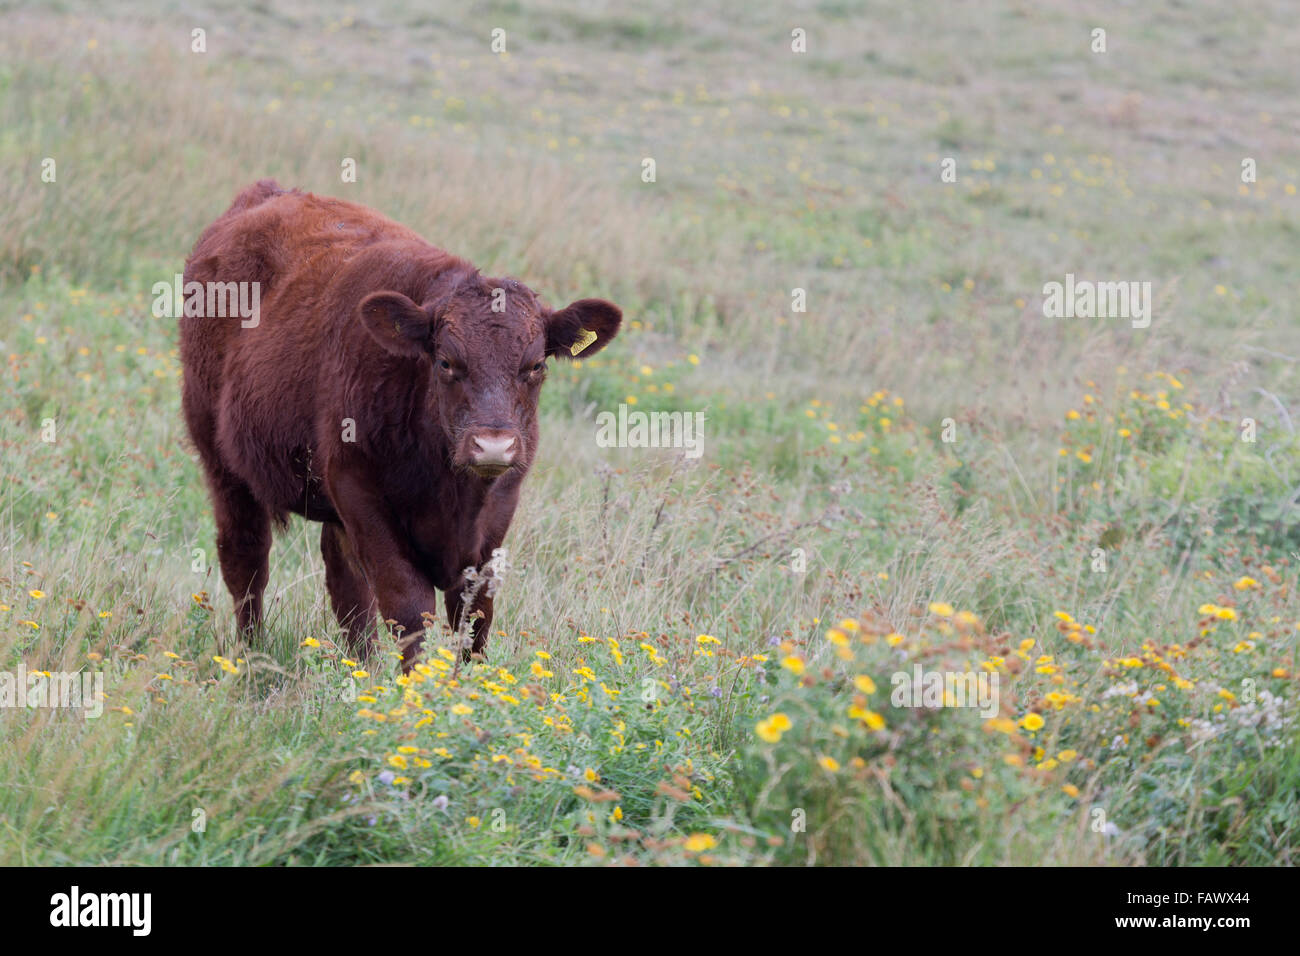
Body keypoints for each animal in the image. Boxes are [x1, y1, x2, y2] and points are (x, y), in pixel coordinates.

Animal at [179, 179, 621, 667]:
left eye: (536, 365)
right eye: (446, 362)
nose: (492, 445)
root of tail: (267, 195)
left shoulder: (497, 512)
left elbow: (474, 615)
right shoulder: (361, 494)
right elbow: (409, 608)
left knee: (344, 583)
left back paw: (361, 667)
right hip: (221, 460)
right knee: (246, 560)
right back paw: (251, 657)